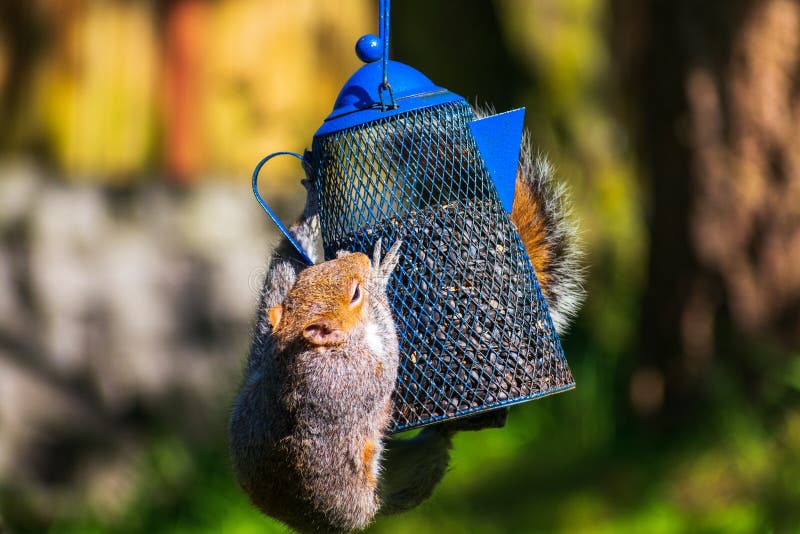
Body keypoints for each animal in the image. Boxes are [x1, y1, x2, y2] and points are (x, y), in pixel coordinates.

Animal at [229, 113, 585, 533]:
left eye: (315, 274)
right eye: (354, 294)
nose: (359, 260)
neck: (302, 355)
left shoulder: (268, 344)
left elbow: (281, 272)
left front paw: (313, 192)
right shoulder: (348, 385)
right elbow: (387, 366)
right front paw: (381, 274)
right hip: (401, 479)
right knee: (434, 449)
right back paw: (465, 423)